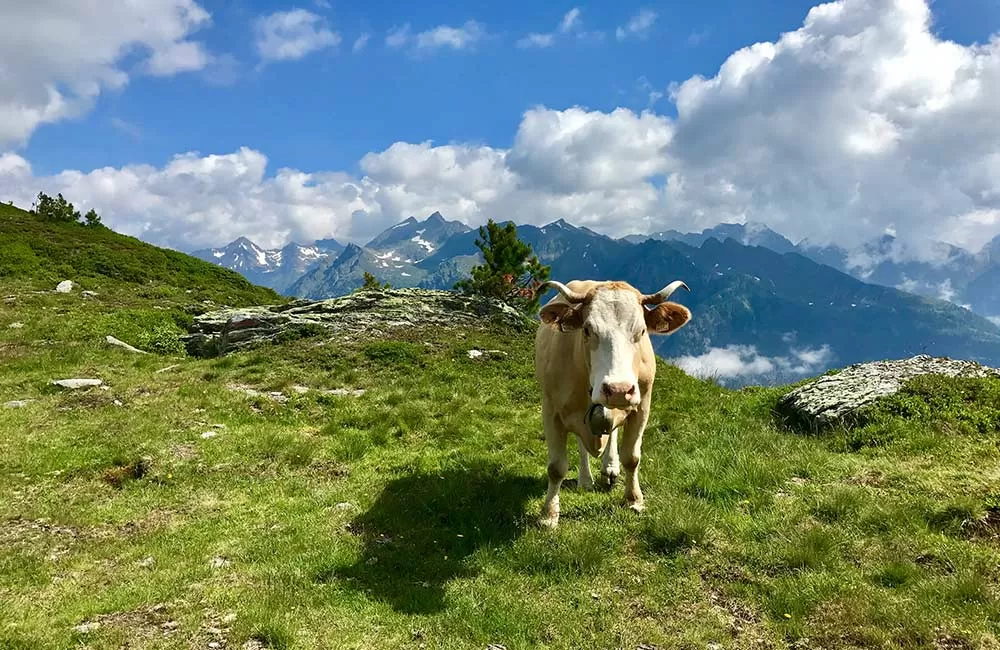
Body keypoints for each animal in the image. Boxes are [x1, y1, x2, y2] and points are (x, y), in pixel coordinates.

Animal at [536, 278, 692, 528]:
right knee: (582, 445)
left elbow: (632, 457)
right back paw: (585, 480)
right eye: (587, 329)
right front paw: (548, 514)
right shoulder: (551, 410)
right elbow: (556, 467)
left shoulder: (642, 406)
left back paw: (610, 467)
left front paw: (634, 500)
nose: (618, 389)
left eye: (642, 330)